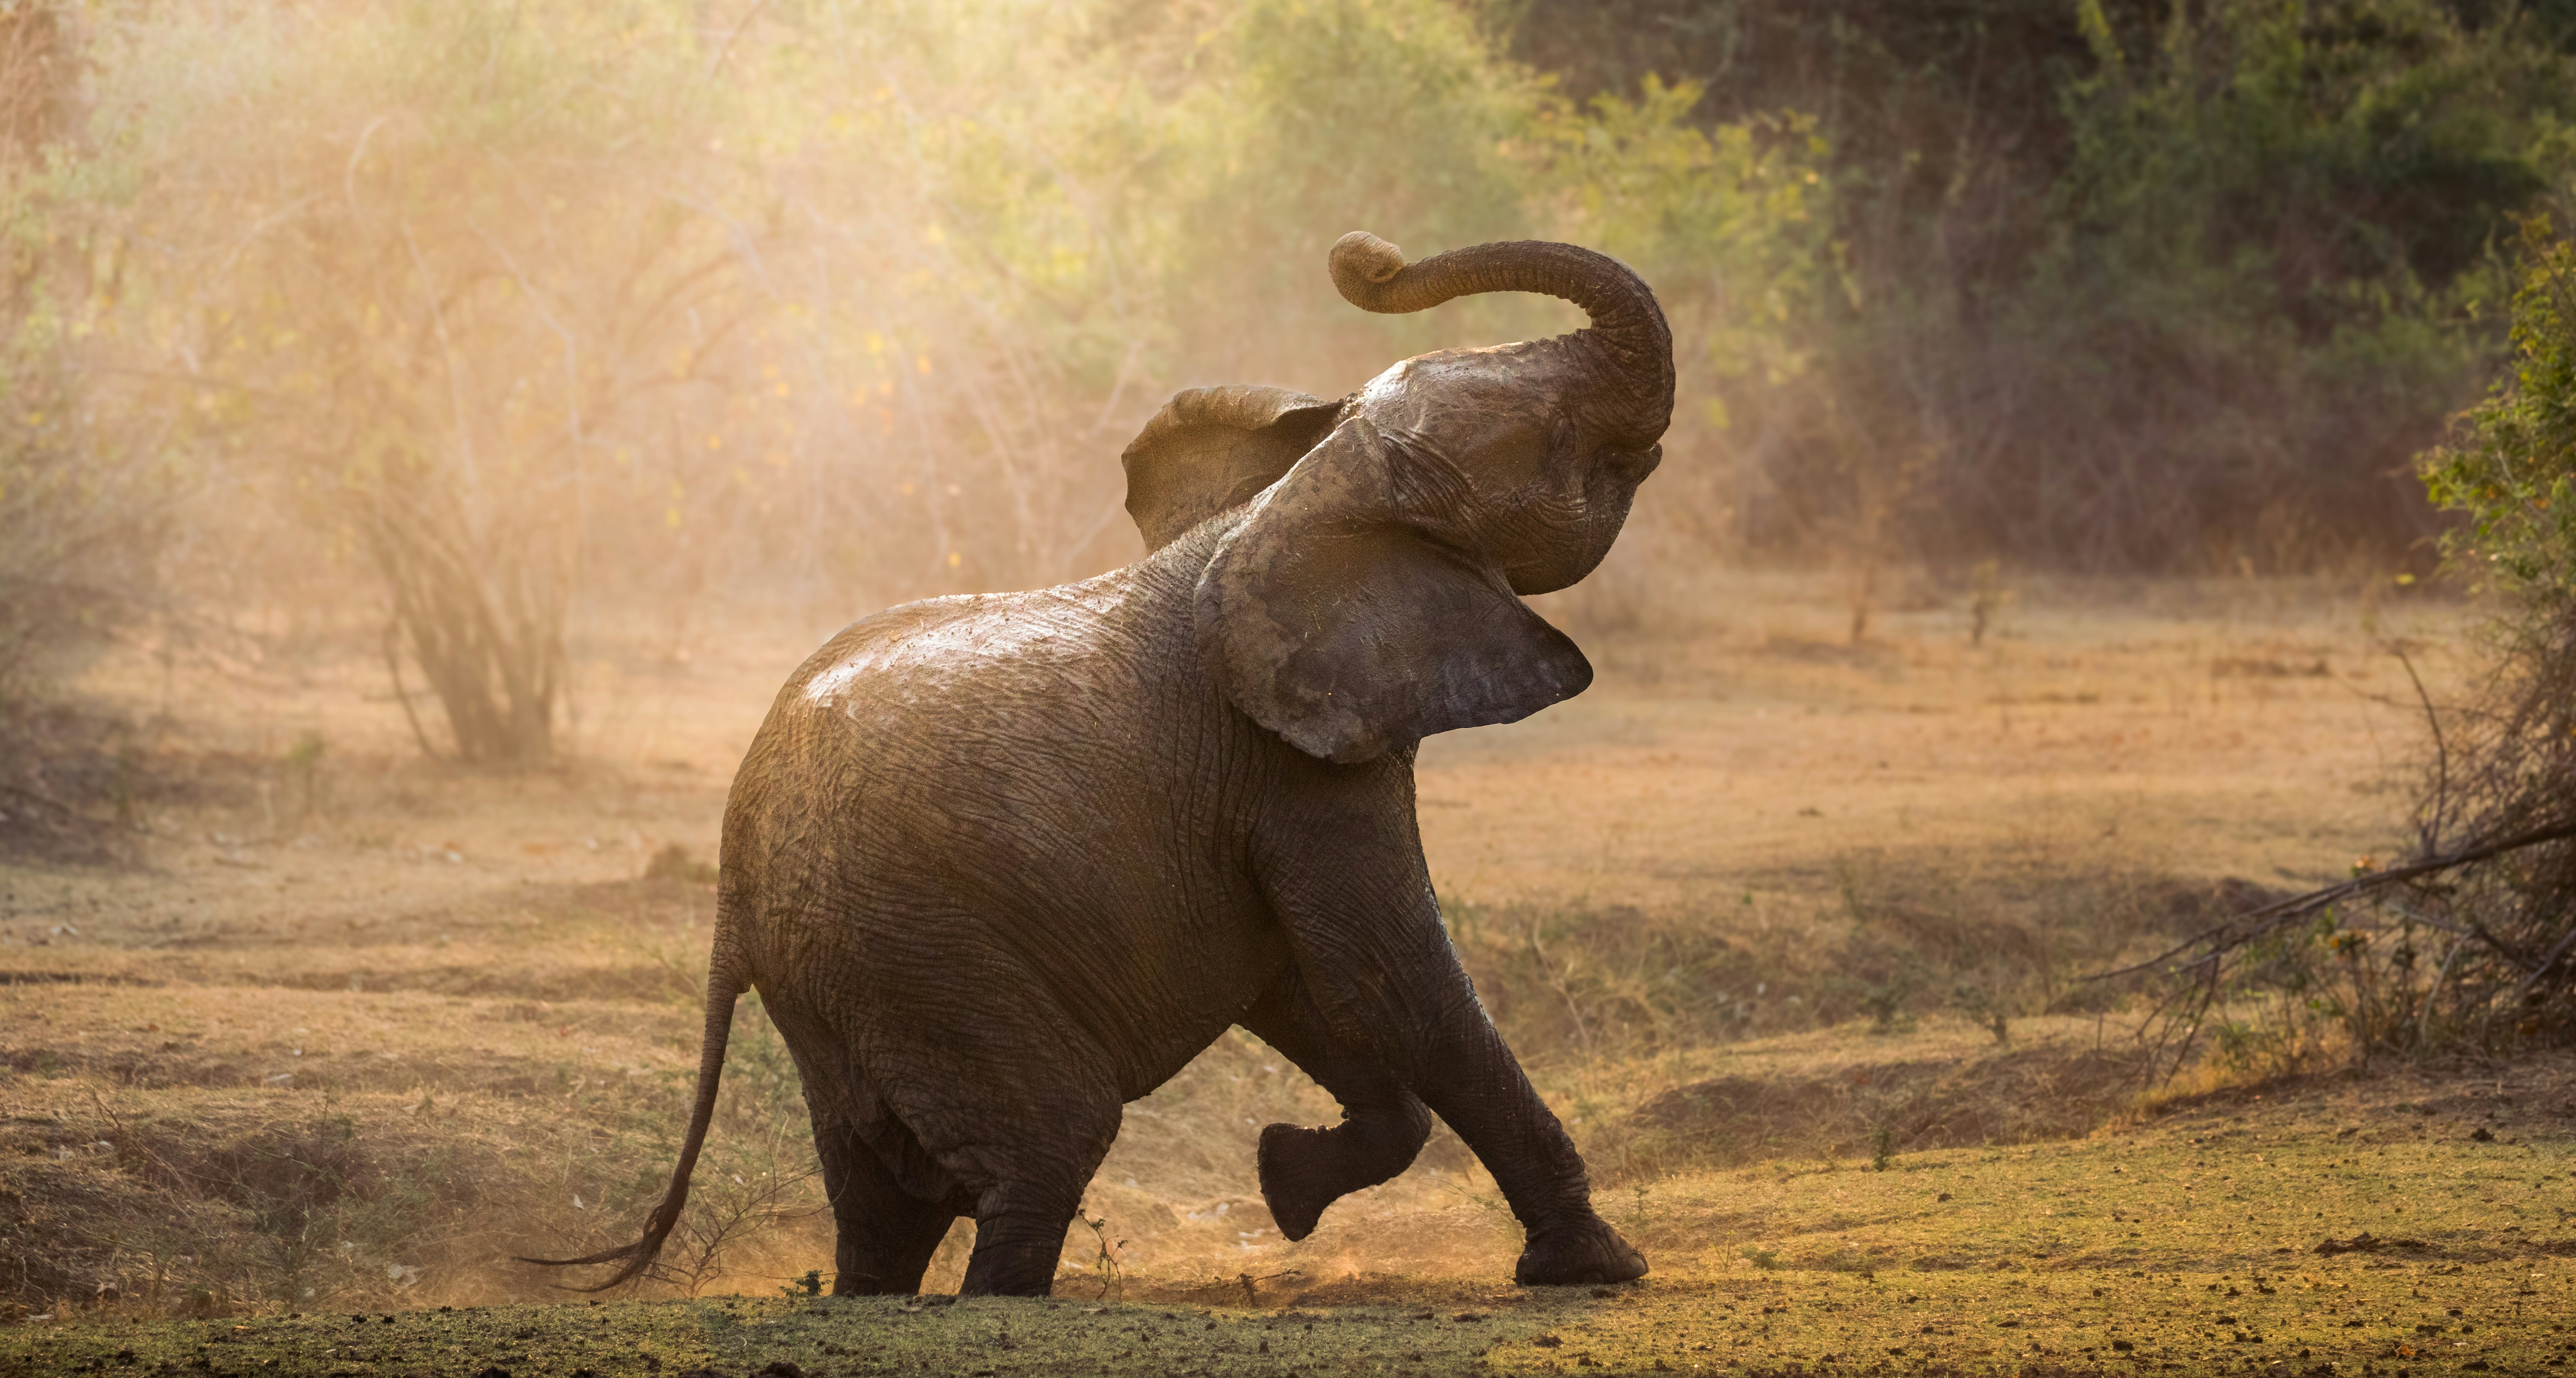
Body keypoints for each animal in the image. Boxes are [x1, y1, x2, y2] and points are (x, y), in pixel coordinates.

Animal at [531, 229, 1673, 1297]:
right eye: (1561, 442)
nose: (1368, 256)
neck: (1307, 488)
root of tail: (730, 875)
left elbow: (1303, 986)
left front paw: (1285, 1182)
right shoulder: (1291, 755)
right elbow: (1387, 976)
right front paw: (1601, 1266)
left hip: (841, 982)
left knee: (886, 1204)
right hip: (923, 954)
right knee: (1048, 1139)